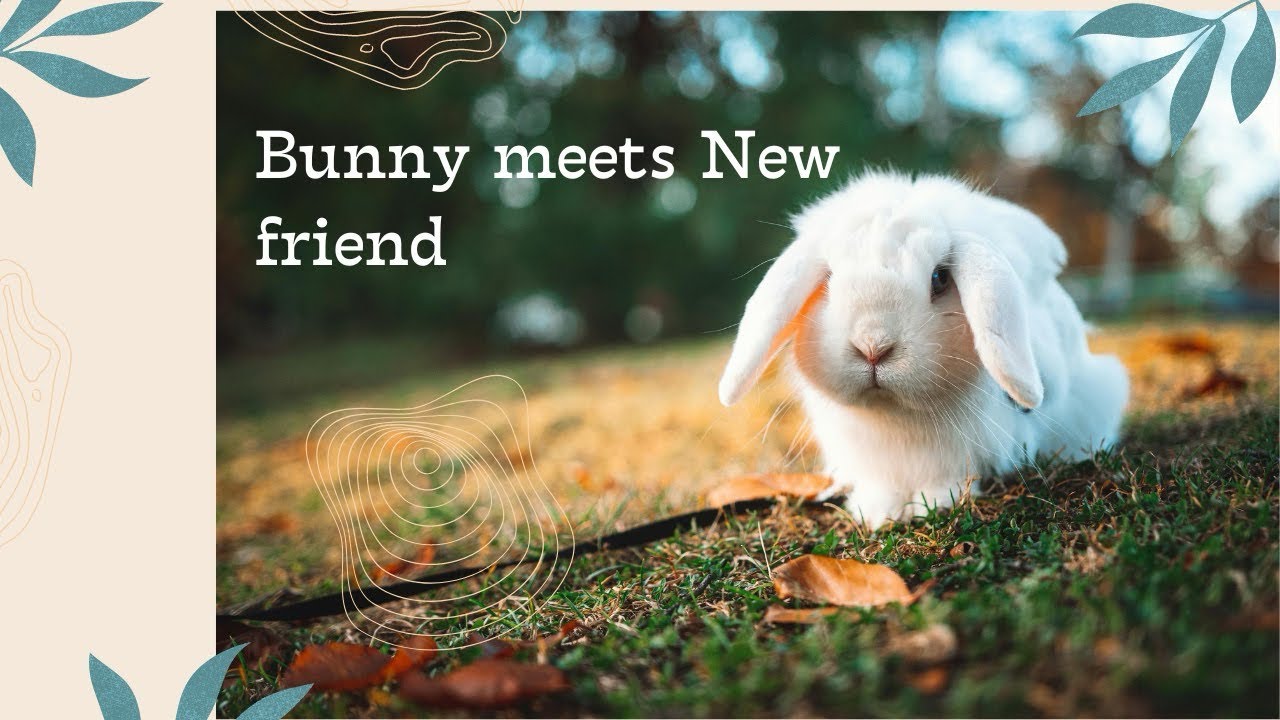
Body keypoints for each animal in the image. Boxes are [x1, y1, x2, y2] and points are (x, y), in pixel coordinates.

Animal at [718, 172, 1128, 528]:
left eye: (939, 278)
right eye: (829, 279)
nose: (873, 345)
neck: (896, 419)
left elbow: (948, 478)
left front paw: (934, 504)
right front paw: (877, 512)